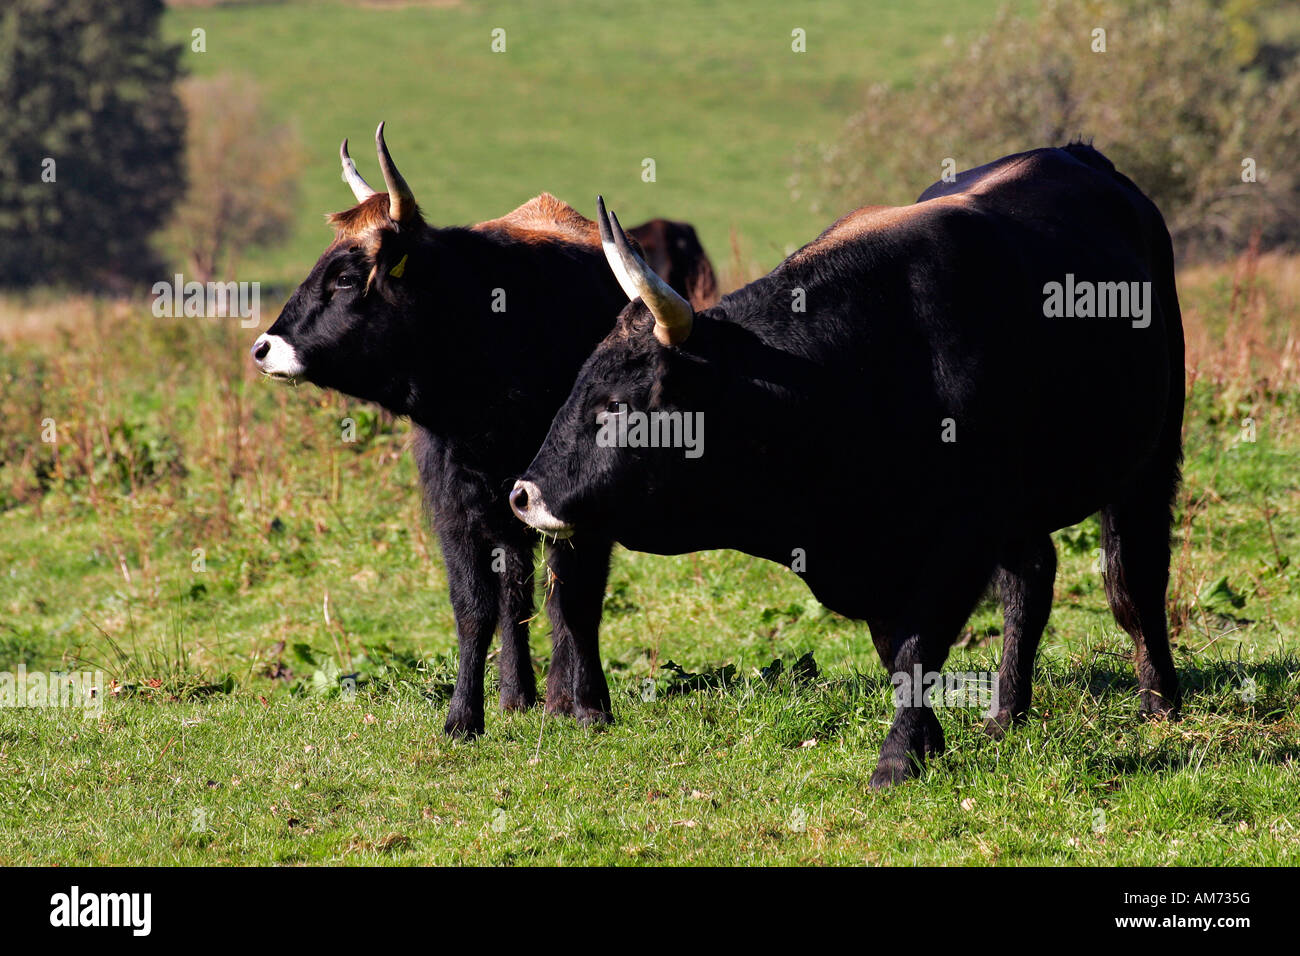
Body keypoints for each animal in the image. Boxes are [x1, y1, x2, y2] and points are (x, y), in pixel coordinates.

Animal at [250, 123, 717, 738]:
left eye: (347, 277)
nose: (263, 348)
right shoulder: (456, 506)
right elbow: (475, 607)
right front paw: (463, 717)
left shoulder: (577, 500)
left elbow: (575, 600)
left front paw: (589, 704)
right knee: (515, 592)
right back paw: (516, 694)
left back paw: (555, 695)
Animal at [510, 144, 1185, 788]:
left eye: (615, 404)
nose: (523, 495)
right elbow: (898, 652)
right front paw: (929, 740)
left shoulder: (959, 542)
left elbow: (918, 650)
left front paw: (898, 760)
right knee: (1033, 576)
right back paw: (1005, 715)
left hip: (1150, 457)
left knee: (1134, 579)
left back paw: (1160, 701)